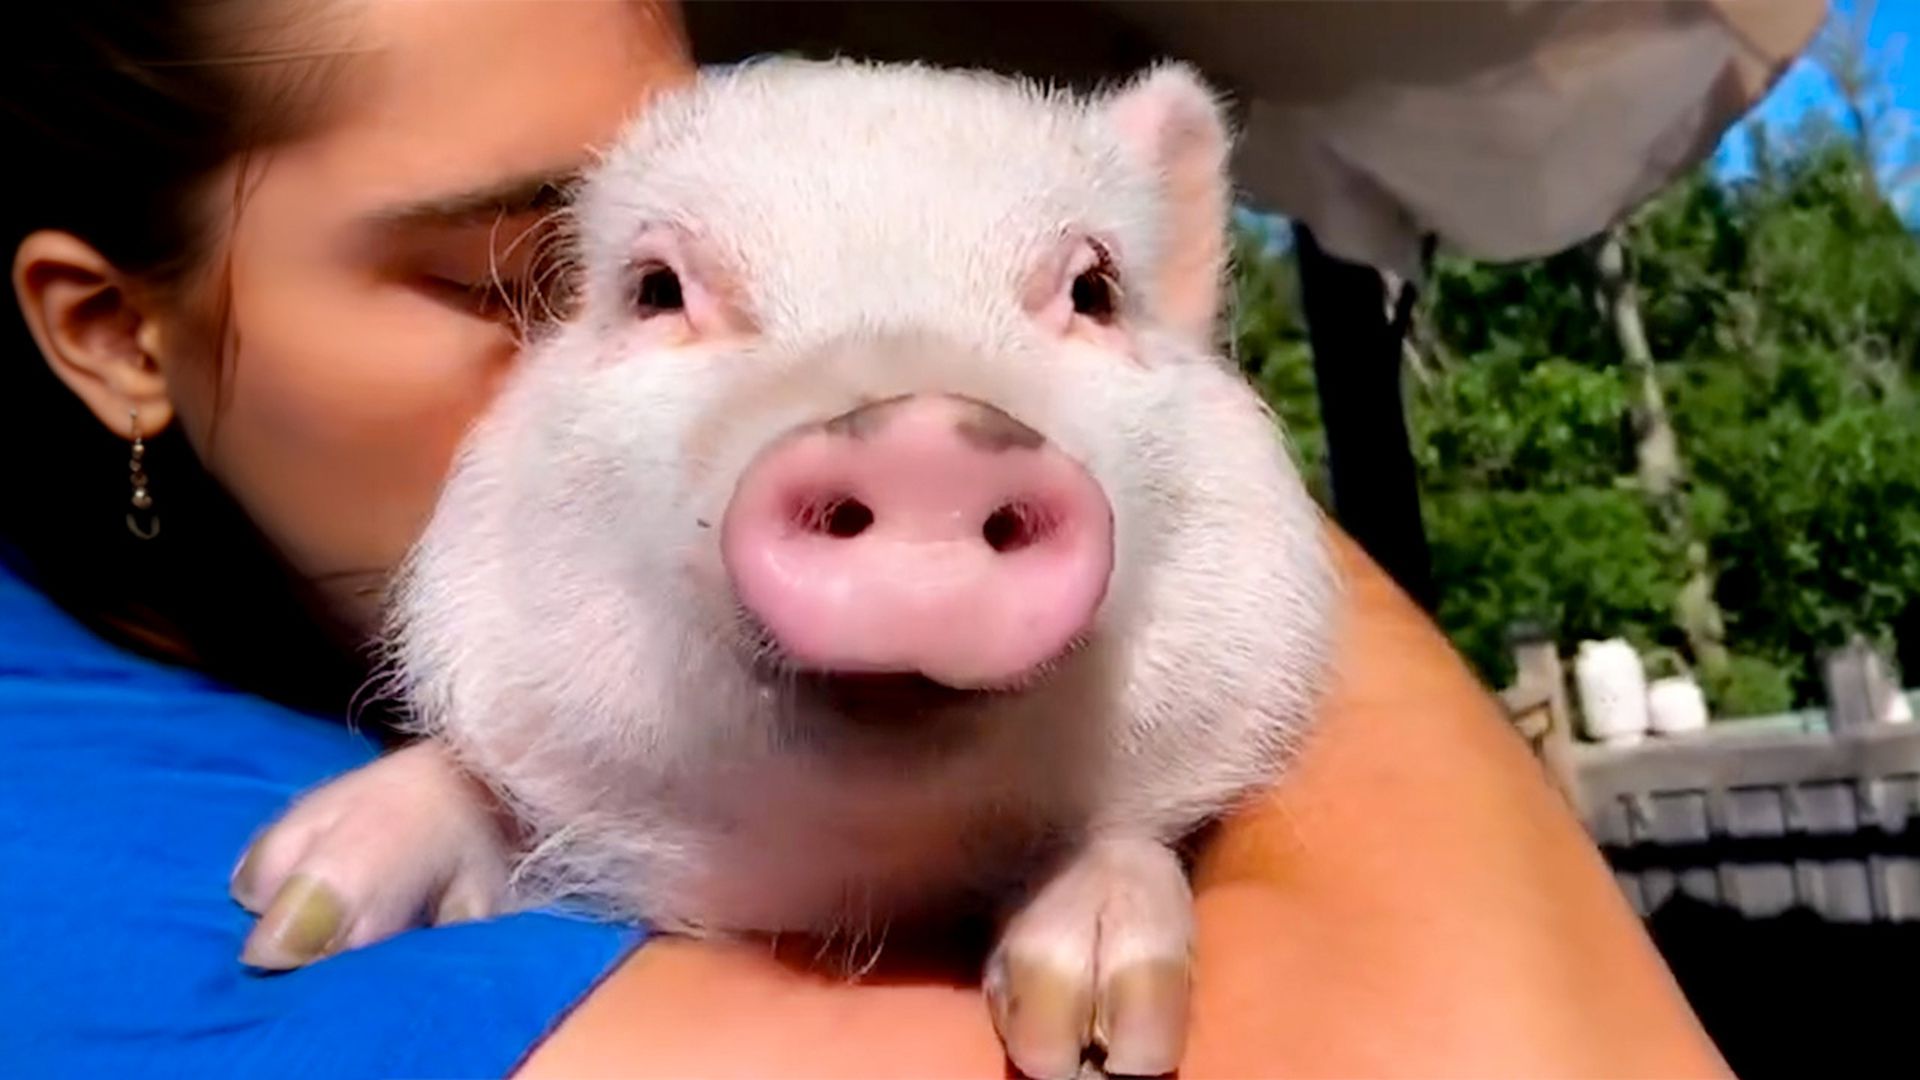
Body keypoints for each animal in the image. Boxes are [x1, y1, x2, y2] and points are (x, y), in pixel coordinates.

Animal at [231, 58, 1337, 1079]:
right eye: (657, 290)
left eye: (1093, 290)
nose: (925, 440)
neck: (861, 911)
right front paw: (280, 910)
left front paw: (1099, 1032)